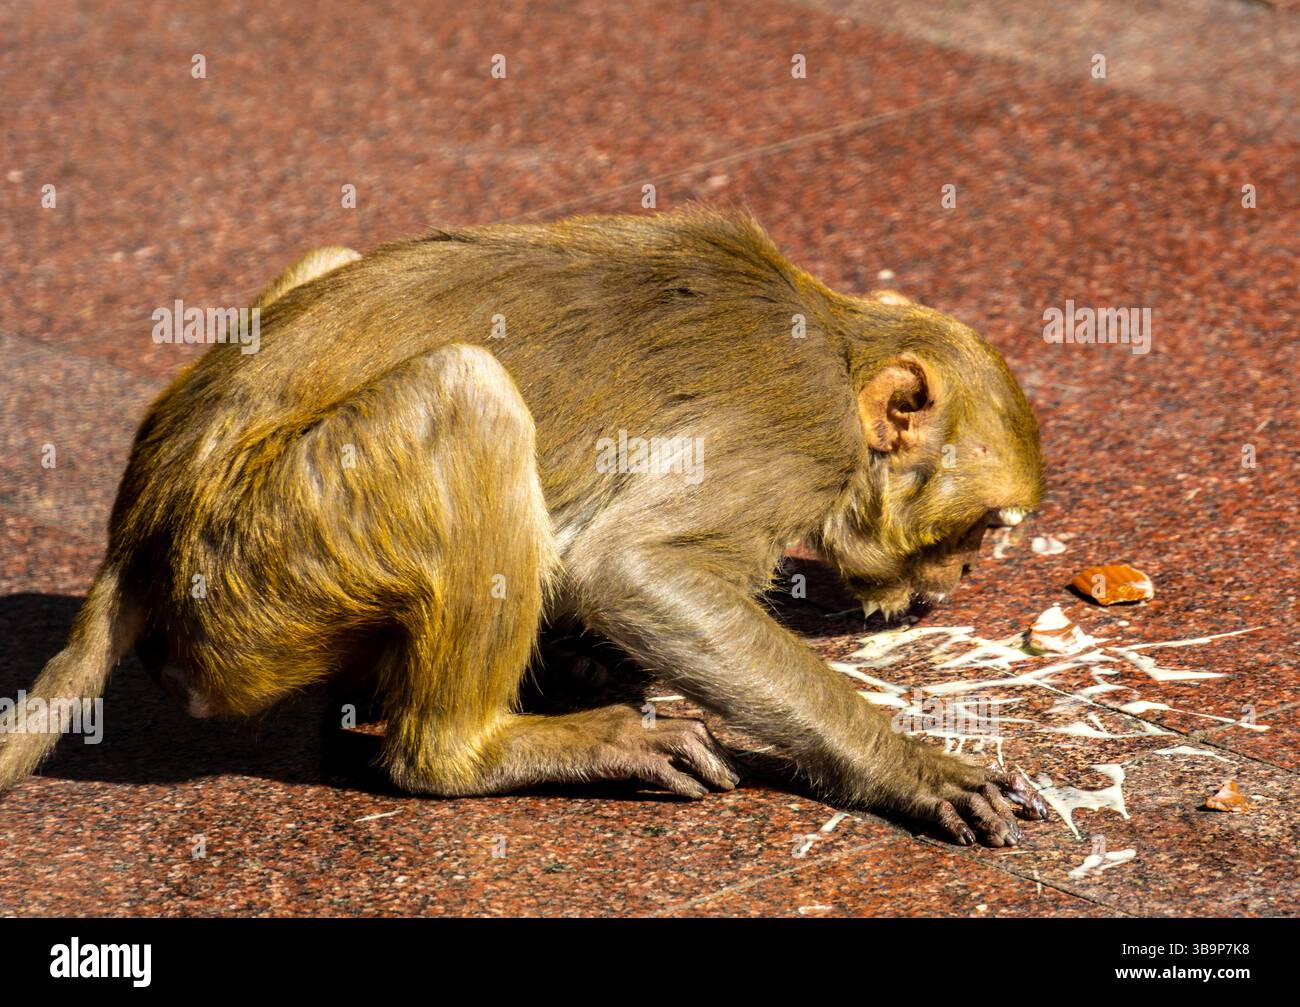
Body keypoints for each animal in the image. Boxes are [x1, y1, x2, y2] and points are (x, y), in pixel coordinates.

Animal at [0, 206, 1049, 847]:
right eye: (979, 530)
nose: (959, 579)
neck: (839, 348)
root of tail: (139, 520)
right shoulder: (795, 443)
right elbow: (631, 571)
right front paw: (909, 766)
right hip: (258, 571)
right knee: (467, 395)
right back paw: (472, 750)